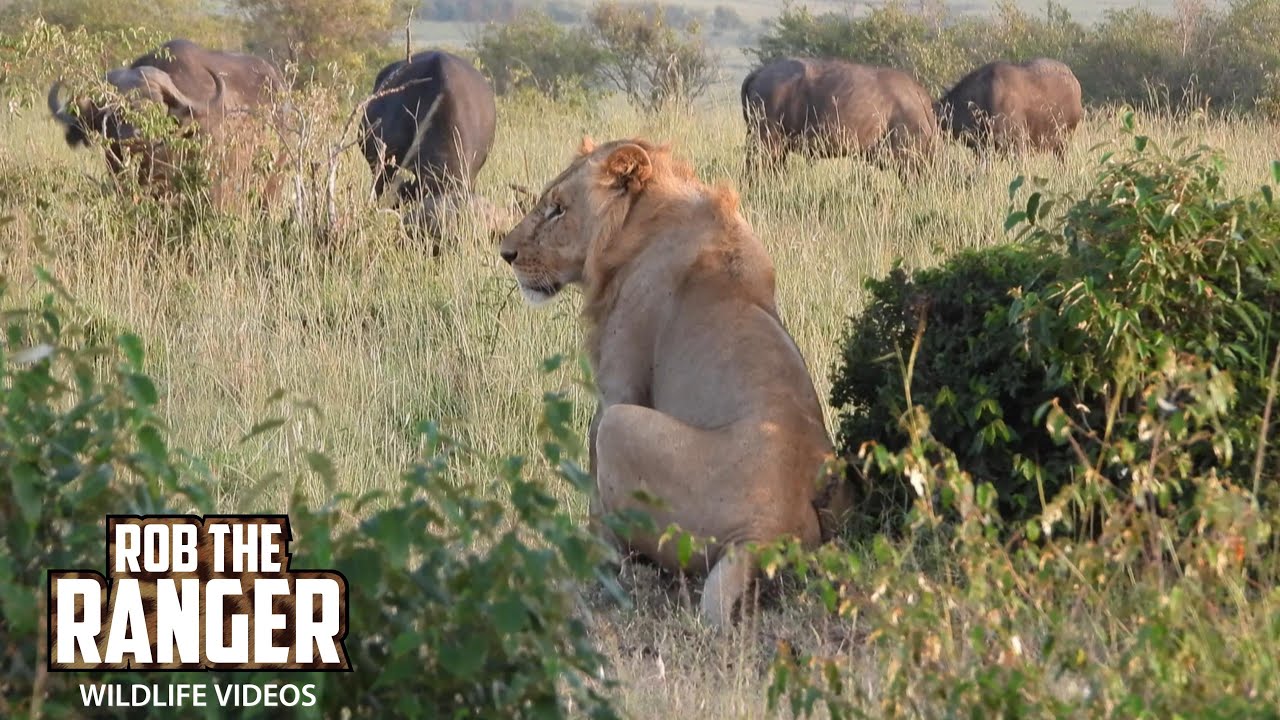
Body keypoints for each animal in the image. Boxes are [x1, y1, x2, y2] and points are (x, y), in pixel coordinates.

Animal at [498, 136, 854, 626]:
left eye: (558, 209)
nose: (505, 253)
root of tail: (761, 535)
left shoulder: (618, 383)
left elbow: (591, 485)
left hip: (624, 428)